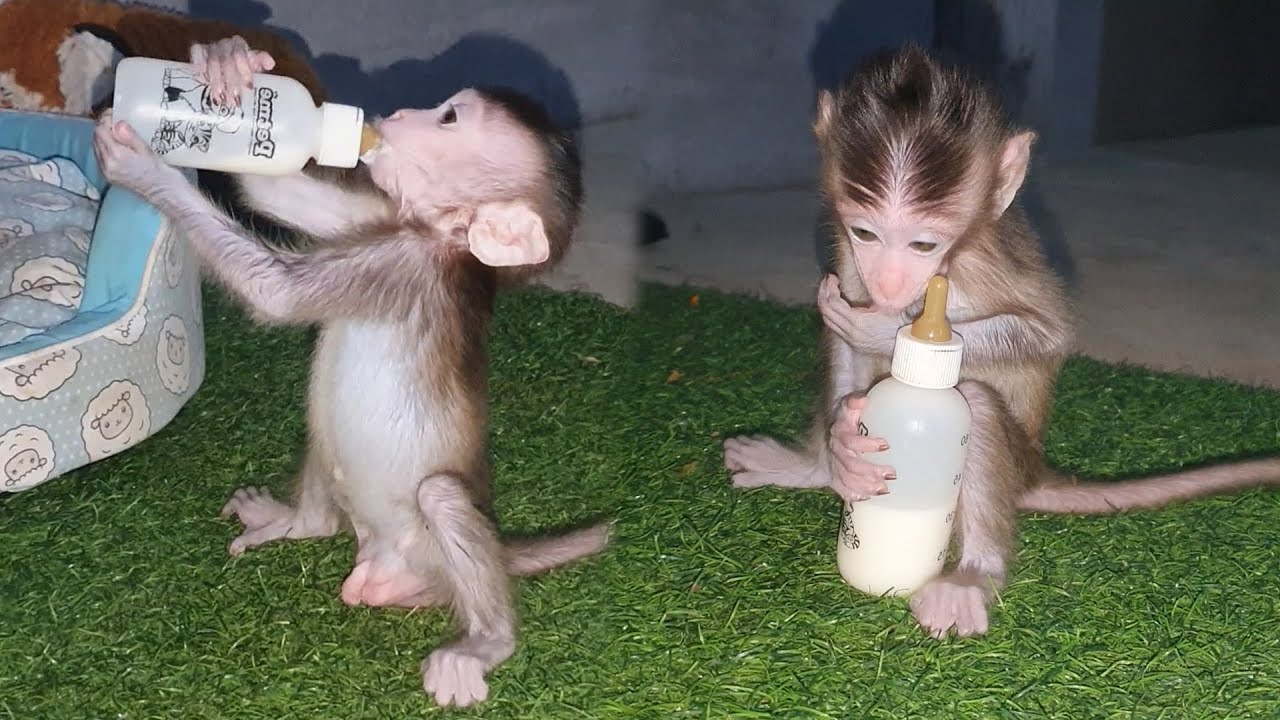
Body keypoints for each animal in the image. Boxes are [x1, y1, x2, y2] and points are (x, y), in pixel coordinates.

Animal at [91, 36, 607, 708]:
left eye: (449, 117)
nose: (400, 114)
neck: (438, 236)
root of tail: (382, 563)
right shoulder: (378, 219)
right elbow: (278, 195)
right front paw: (229, 68)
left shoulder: (403, 266)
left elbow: (275, 292)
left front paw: (143, 163)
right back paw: (296, 522)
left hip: (432, 549)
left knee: (441, 496)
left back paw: (485, 644)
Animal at [722, 43, 1280, 641]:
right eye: (867, 233)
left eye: (924, 245)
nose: (891, 285)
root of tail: (1033, 476)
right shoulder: (848, 259)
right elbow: (839, 322)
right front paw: (846, 442)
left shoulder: (981, 263)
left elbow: (1046, 333)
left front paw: (880, 329)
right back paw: (819, 467)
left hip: (1016, 456)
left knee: (979, 404)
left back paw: (973, 574)